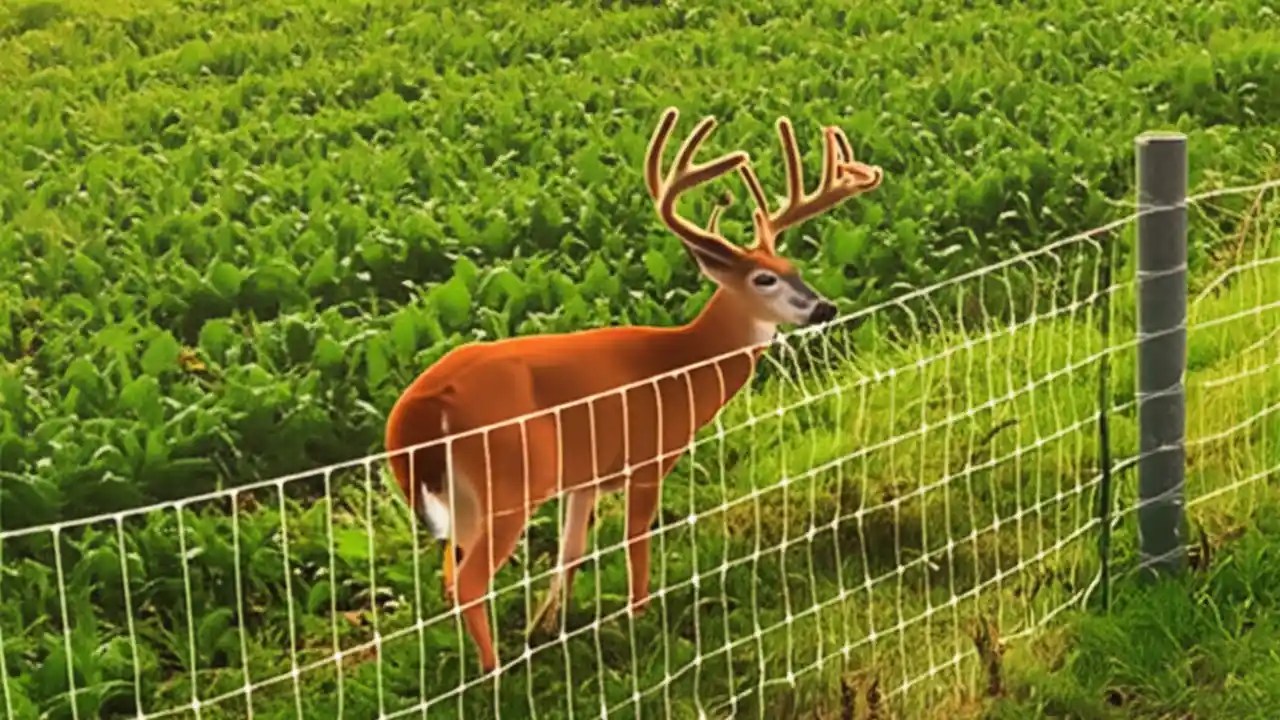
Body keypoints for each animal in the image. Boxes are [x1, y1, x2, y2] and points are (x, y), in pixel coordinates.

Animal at [384, 106, 883, 673]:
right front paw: (637, 616)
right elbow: (634, 539)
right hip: (510, 479)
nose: (825, 307)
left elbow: (570, 553)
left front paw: (546, 628)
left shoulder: (582, 478)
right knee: (469, 581)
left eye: (794, 268)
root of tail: (418, 413)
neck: (683, 366)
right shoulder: (647, 456)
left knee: (450, 576)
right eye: (764, 279)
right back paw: (495, 674)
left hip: (461, 495)